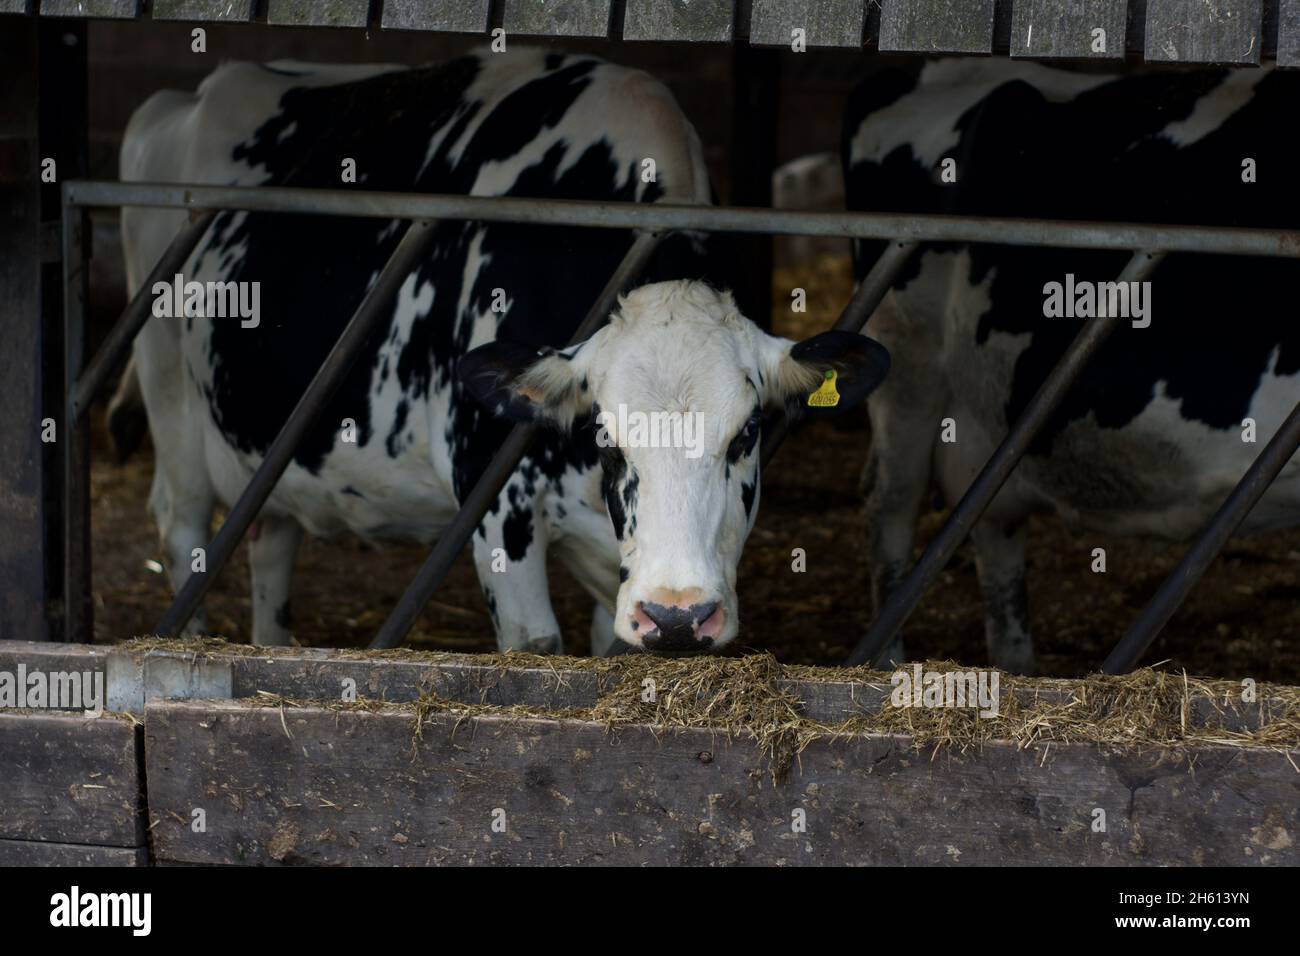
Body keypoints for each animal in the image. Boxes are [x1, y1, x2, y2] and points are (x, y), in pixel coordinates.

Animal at [118, 50, 890, 654]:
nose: (677, 616)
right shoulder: (492, 497)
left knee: (270, 538)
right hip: (170, 405)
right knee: (180, 524)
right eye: (604, 434)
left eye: (747, 433)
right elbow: (535, 643)